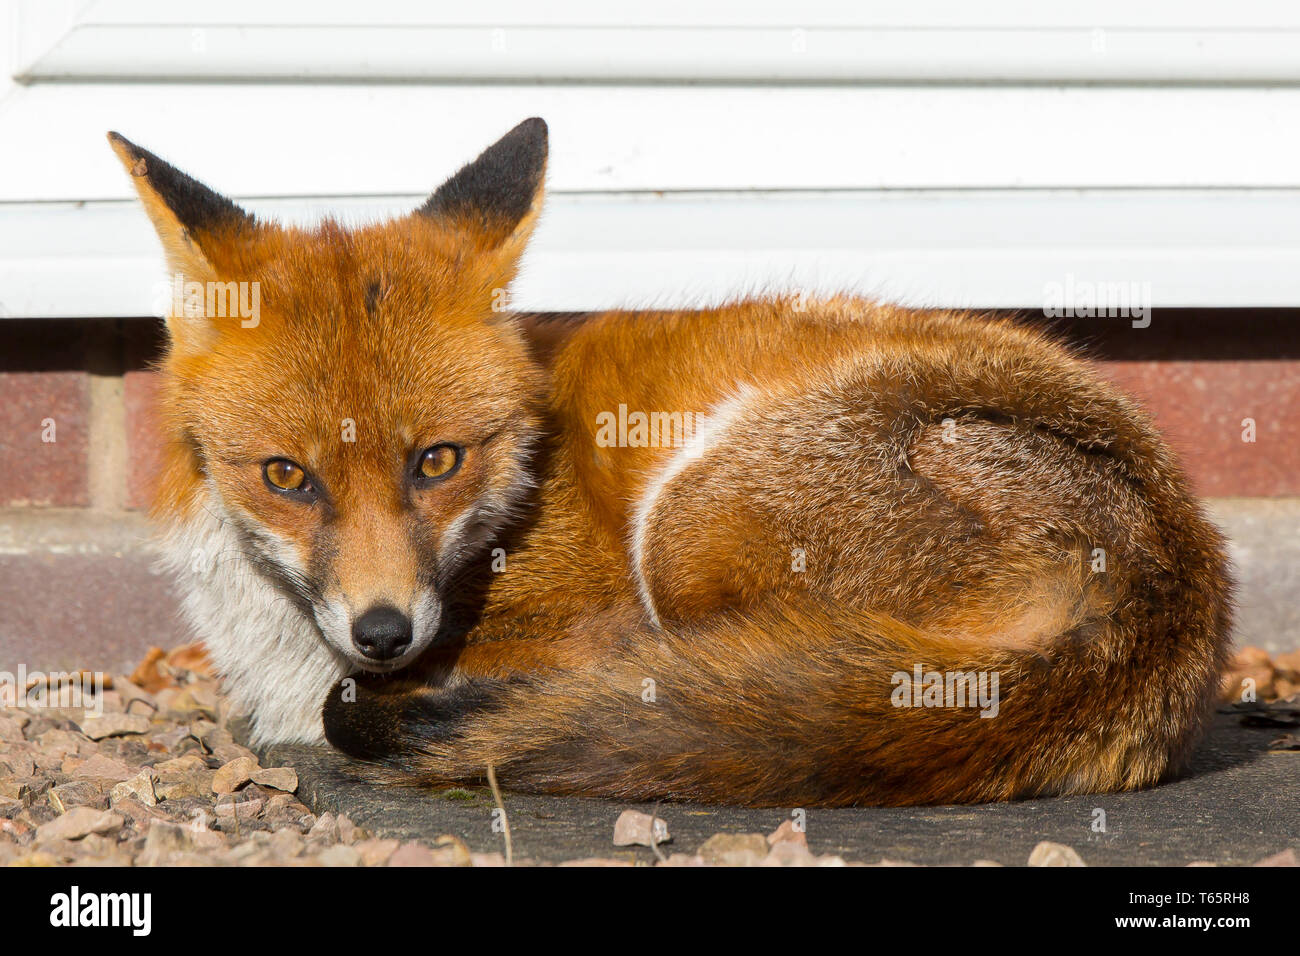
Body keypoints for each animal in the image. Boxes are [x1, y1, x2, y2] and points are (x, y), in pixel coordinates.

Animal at [109, 118, 1233, 807]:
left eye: (436, 460)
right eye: (286, 476)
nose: (382, 633)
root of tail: (1167, 582)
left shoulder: (590, 609)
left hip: (688, 516)